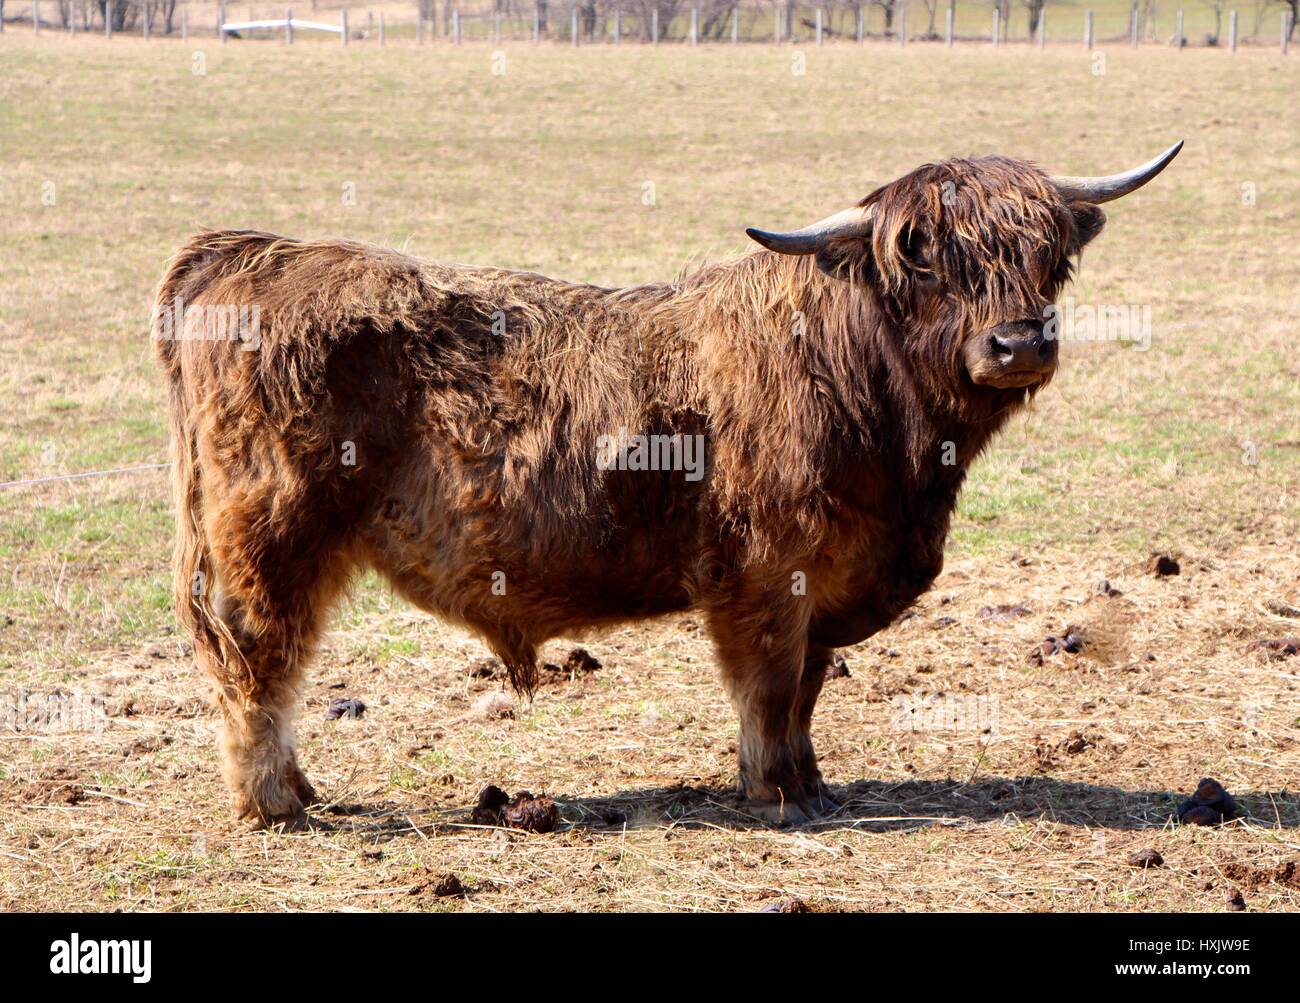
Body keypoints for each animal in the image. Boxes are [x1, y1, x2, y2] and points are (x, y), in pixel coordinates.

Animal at [153, 143, 1182, 828]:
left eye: (1048, 252)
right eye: (924, 259)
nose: (1019, 342)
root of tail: (244, 253)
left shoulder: (823, 586)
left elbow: (808, 687)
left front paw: (811, 780)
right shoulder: (766, 578)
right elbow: (770, 684)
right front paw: (773, 789)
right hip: (270, 544)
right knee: (257, 664)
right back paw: (277, 801)